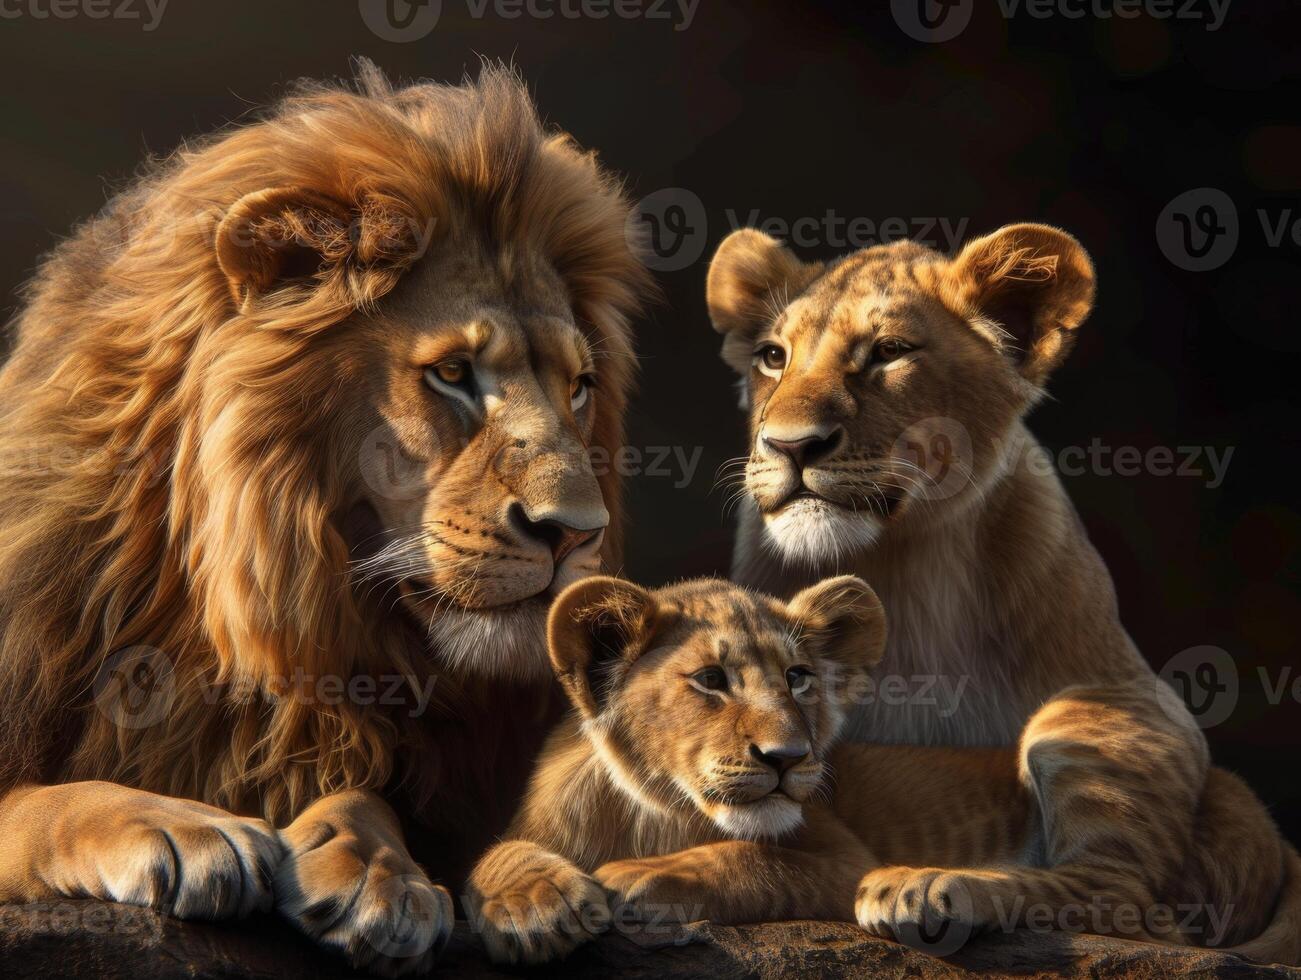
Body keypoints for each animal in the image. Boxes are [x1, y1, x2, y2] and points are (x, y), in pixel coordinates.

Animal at [0, 61, 650, 975]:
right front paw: (177, 825)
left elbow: (363, 791)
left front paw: (384, 873)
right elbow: (40, 800)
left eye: (579, 387)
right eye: (453, 374)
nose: (577, 532)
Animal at [466, 574, 1297, 965]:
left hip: (1074, 718)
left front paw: (644, 879)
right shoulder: (534, 827)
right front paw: (536, 908)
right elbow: (492, 857)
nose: (788, 758)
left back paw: (922, 887)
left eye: (798, 677)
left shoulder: (836, 853)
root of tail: (1271, 828)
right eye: (709, 680)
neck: (647, 805)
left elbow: (752, 859)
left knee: (1124, 902)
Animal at [700, 223, 1300, 962]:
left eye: (889, 353)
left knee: (1129, 903)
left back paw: (927, 886)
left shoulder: (1139, 692)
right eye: (772, 357)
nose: (788, 446)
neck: (894, 564)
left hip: (1090, 717)